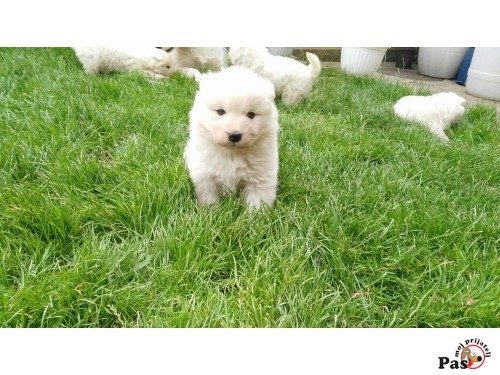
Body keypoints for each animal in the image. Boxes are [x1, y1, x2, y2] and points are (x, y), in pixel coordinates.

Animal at [184, 66, 280, 210]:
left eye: (251, 114)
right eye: (220, 111)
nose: (234, 135)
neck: (232, 155)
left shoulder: (260, 178)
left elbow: (257, 202)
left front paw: (255, 216)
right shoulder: (205, 176)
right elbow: (209, 198)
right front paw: (210, 212)